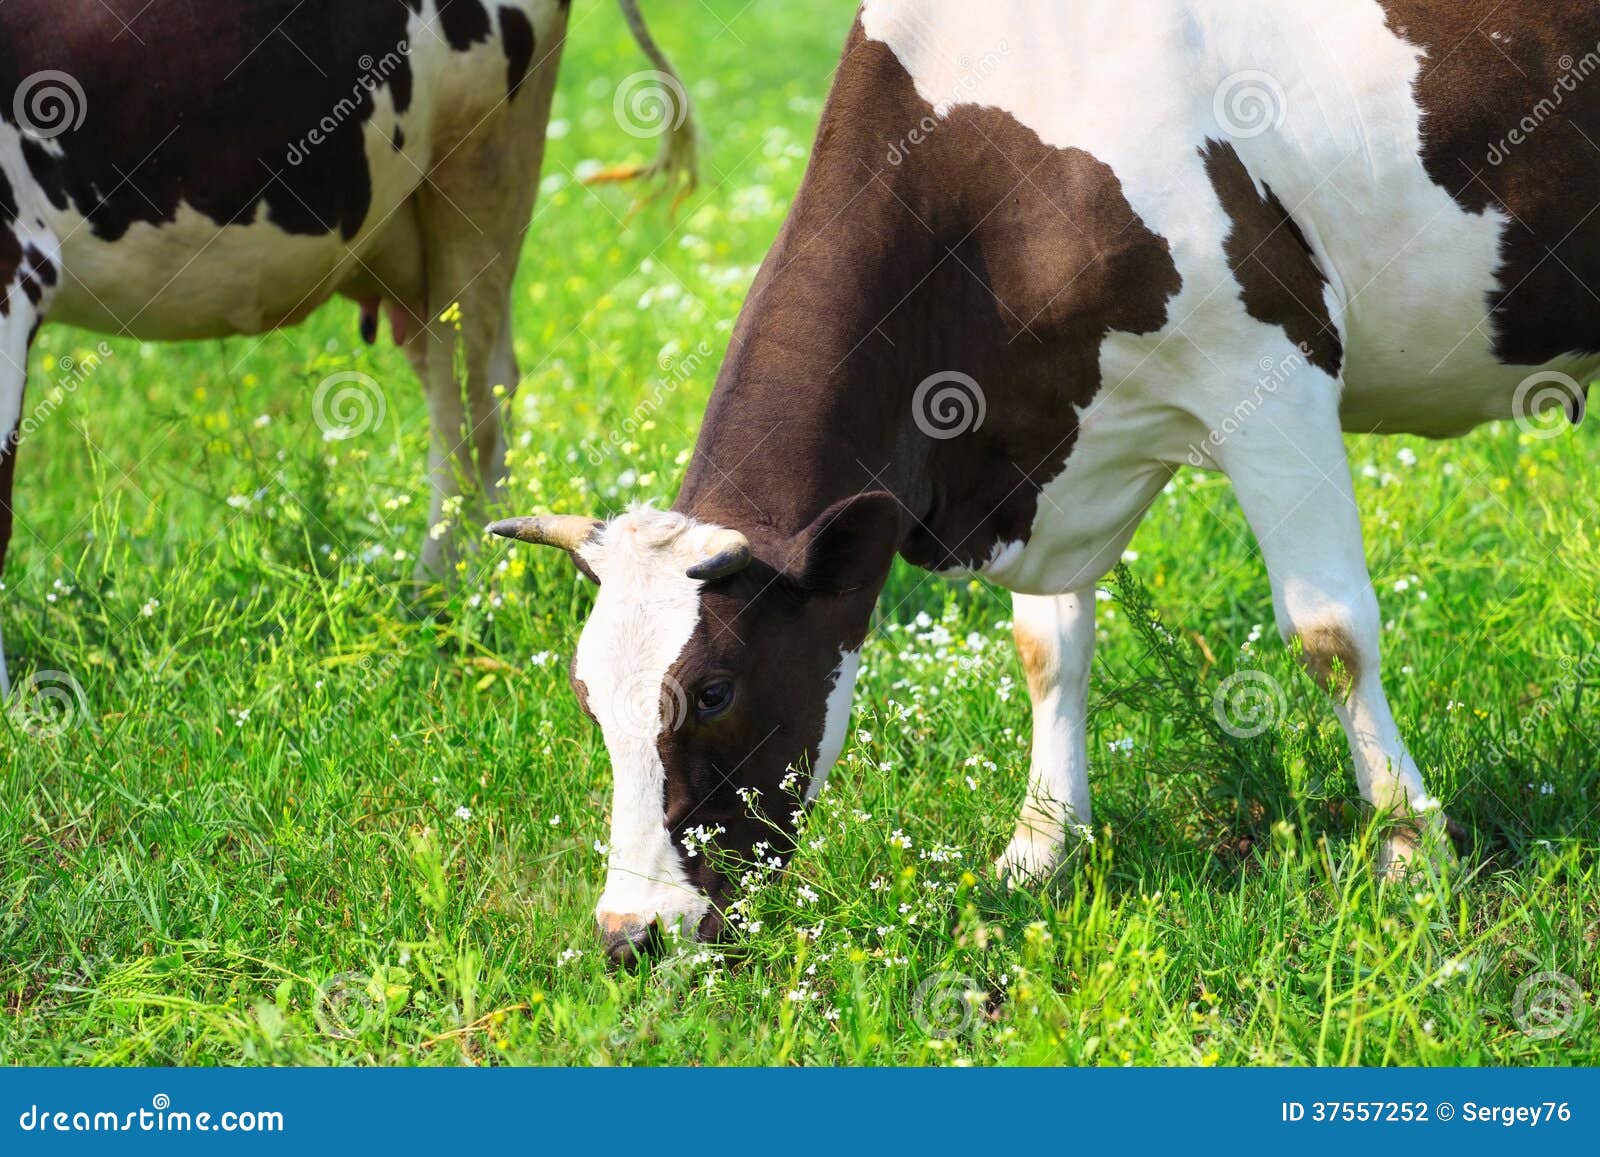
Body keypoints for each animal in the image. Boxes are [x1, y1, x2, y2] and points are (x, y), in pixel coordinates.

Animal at [493, 0, 1599, 966]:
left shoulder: (1272, 371)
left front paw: (1411, 845)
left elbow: (1329, 633)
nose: (630, 933)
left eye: (714, 689)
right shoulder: (1040, 438)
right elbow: (1047, 647)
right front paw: (1039, 848)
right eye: (588, 696)